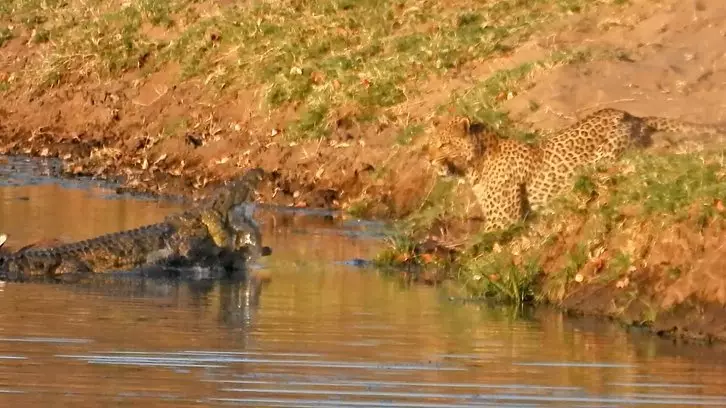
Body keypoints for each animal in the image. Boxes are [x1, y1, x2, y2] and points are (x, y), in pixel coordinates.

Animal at [430, 107, 726, 233]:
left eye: (443, 144)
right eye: (431, 144)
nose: (431, 161)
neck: (475, 163)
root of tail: (631, 115)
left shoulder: (503, 220)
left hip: (610, 153)